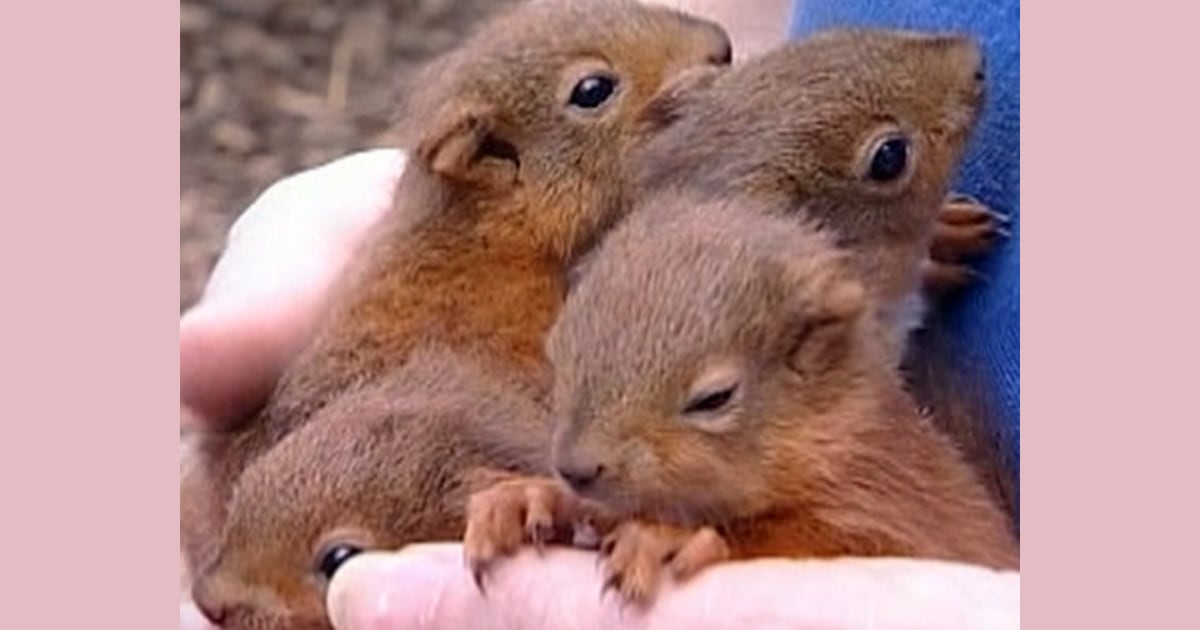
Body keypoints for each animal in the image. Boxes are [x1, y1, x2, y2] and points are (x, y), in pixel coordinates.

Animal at [465, 198, 1019, 605]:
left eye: (715, 398)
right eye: (557, 352)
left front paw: (674, 537)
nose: (575, 469)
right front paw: (528, 500)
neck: (829, 428)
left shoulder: (890, 502)